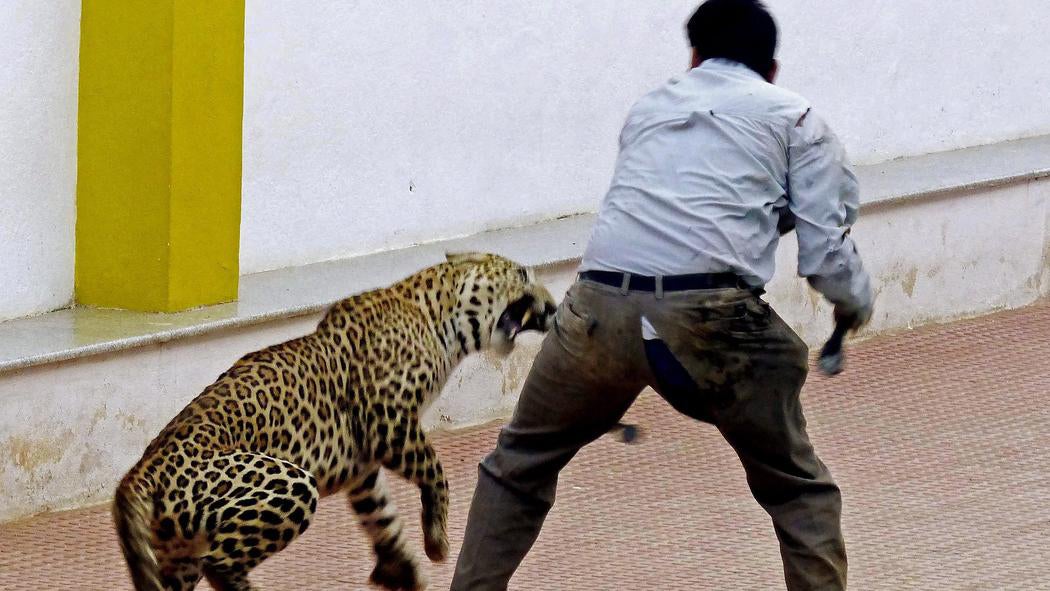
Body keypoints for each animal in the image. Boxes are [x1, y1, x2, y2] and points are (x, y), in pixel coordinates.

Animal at [112, 252, 558, 591]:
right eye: (523, 276)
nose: (554, 308)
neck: (437, 319)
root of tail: (138, 476)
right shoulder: (388, 422)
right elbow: (436, 470)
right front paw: (436, 542)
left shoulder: (362, 468)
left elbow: (382, 516)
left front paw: (402, 568)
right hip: (289, 484)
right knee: (220, 563)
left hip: (177, 551)